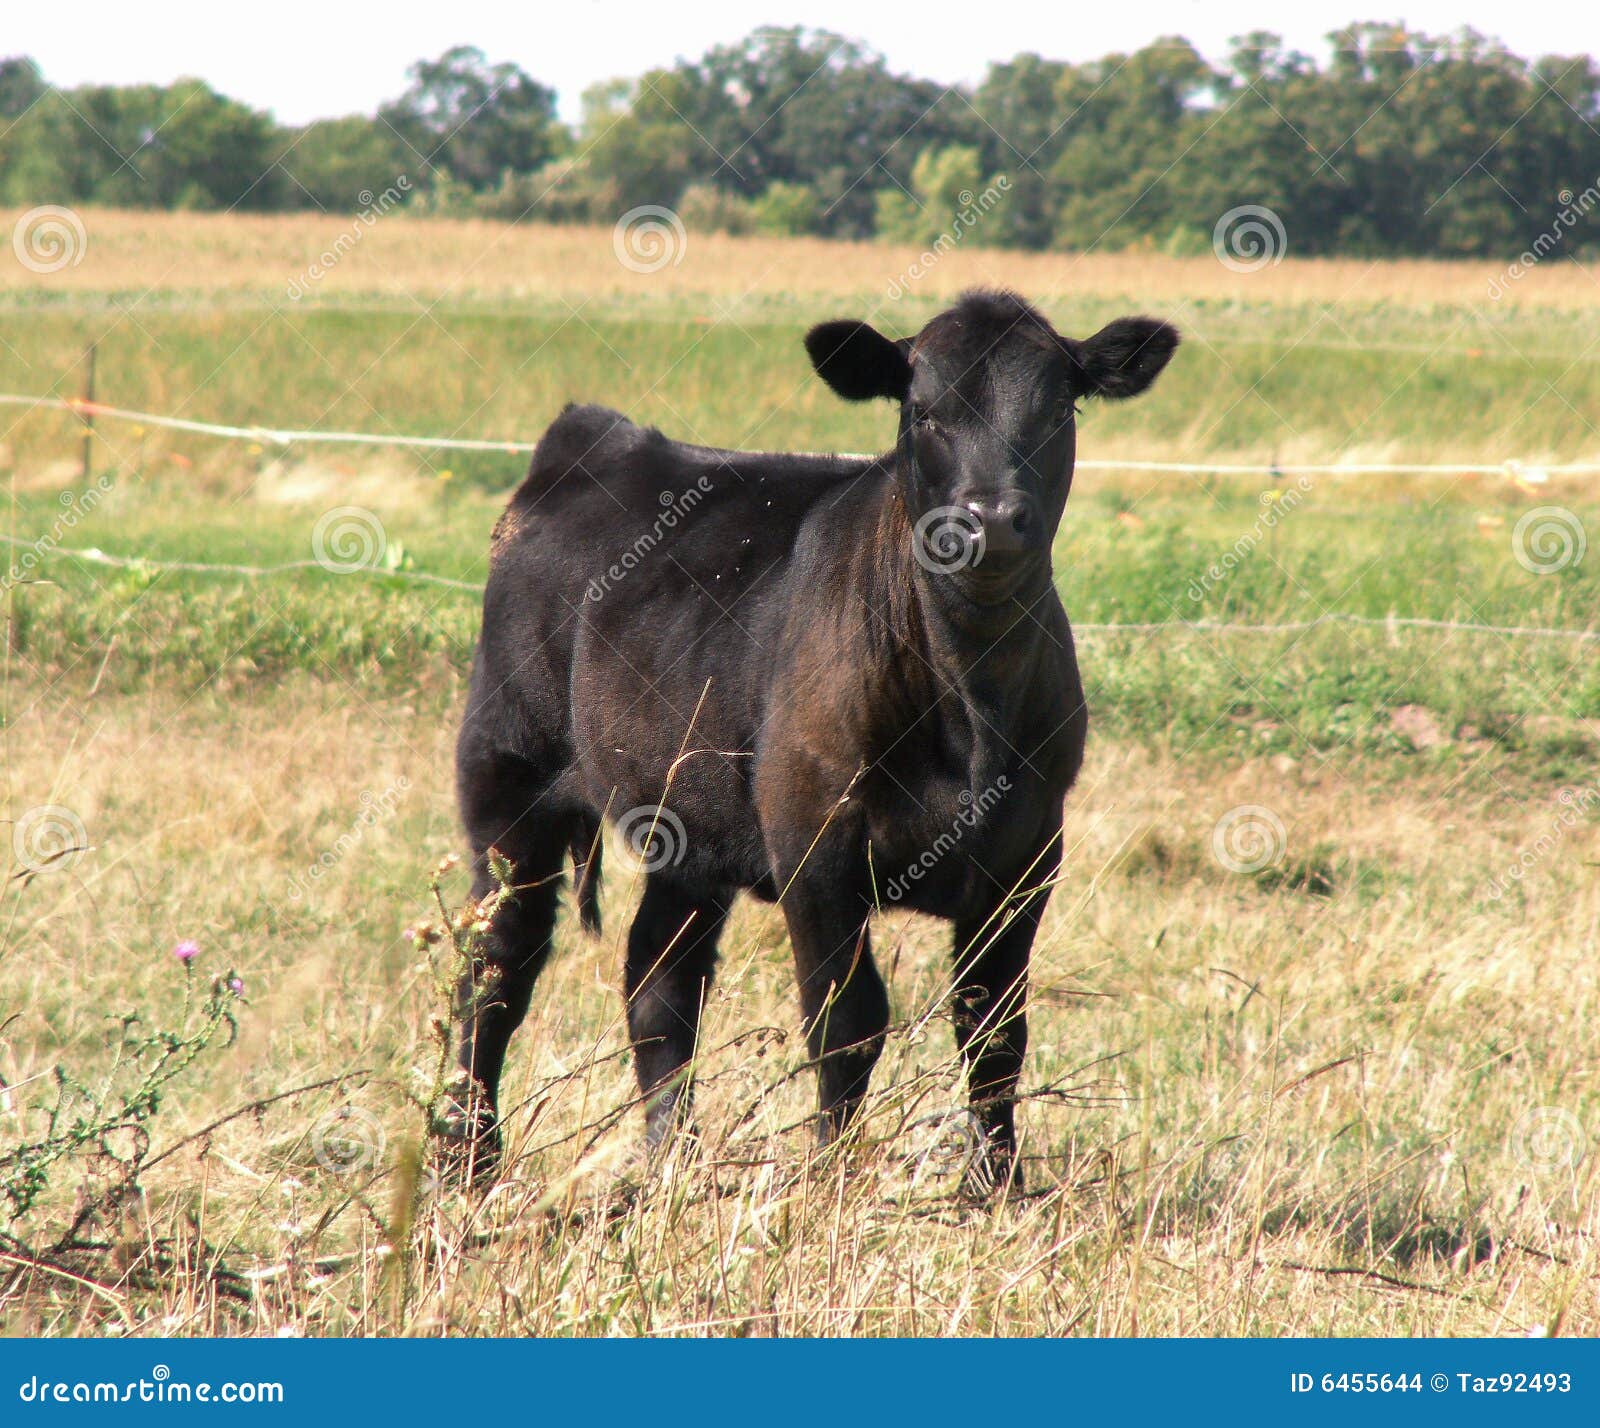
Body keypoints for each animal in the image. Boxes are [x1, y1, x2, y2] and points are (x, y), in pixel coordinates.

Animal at [444, 289, 1178, 1193]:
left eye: (1059, 410)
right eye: (922, 411)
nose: (989, 521)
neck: (970, 703)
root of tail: (595, 438)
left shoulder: (1030, 851)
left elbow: (995, 1031)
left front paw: (997, 1190)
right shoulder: (815, 841)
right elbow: (847, 1022)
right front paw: (831, 1184)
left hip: (688, 824)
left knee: (658, 980)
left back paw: (670, 1162)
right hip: (507, 780)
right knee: (494, 970)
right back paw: (466, 1163)